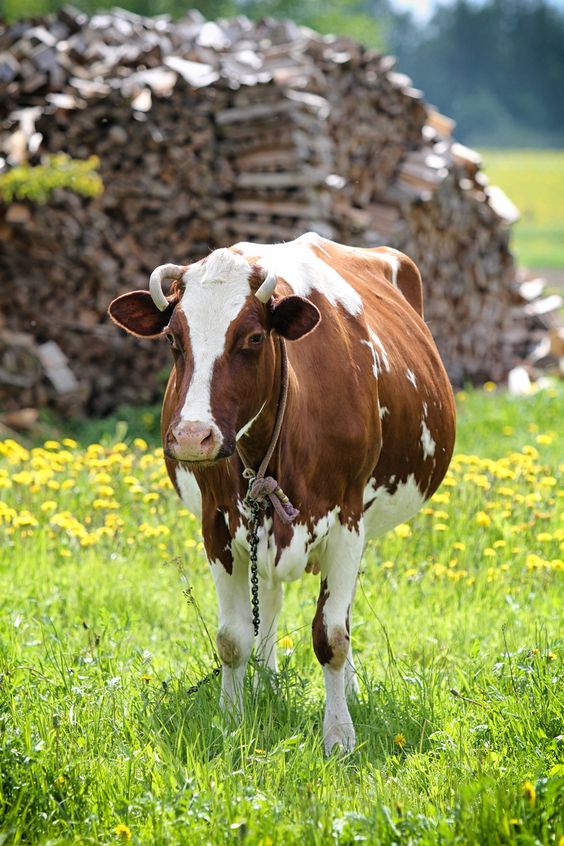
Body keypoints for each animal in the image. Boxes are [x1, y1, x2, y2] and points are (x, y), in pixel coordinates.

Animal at [108, 232, 456, 755]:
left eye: (253, 337)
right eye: (173, 339)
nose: (192, 437)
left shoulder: (347, 521)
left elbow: (331, 635)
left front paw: (339, 735)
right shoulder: (217, 524)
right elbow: (233, 637)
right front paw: (232, 718)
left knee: (337, 613)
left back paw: (347, 689)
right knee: (267, 604)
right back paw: (267, 684)